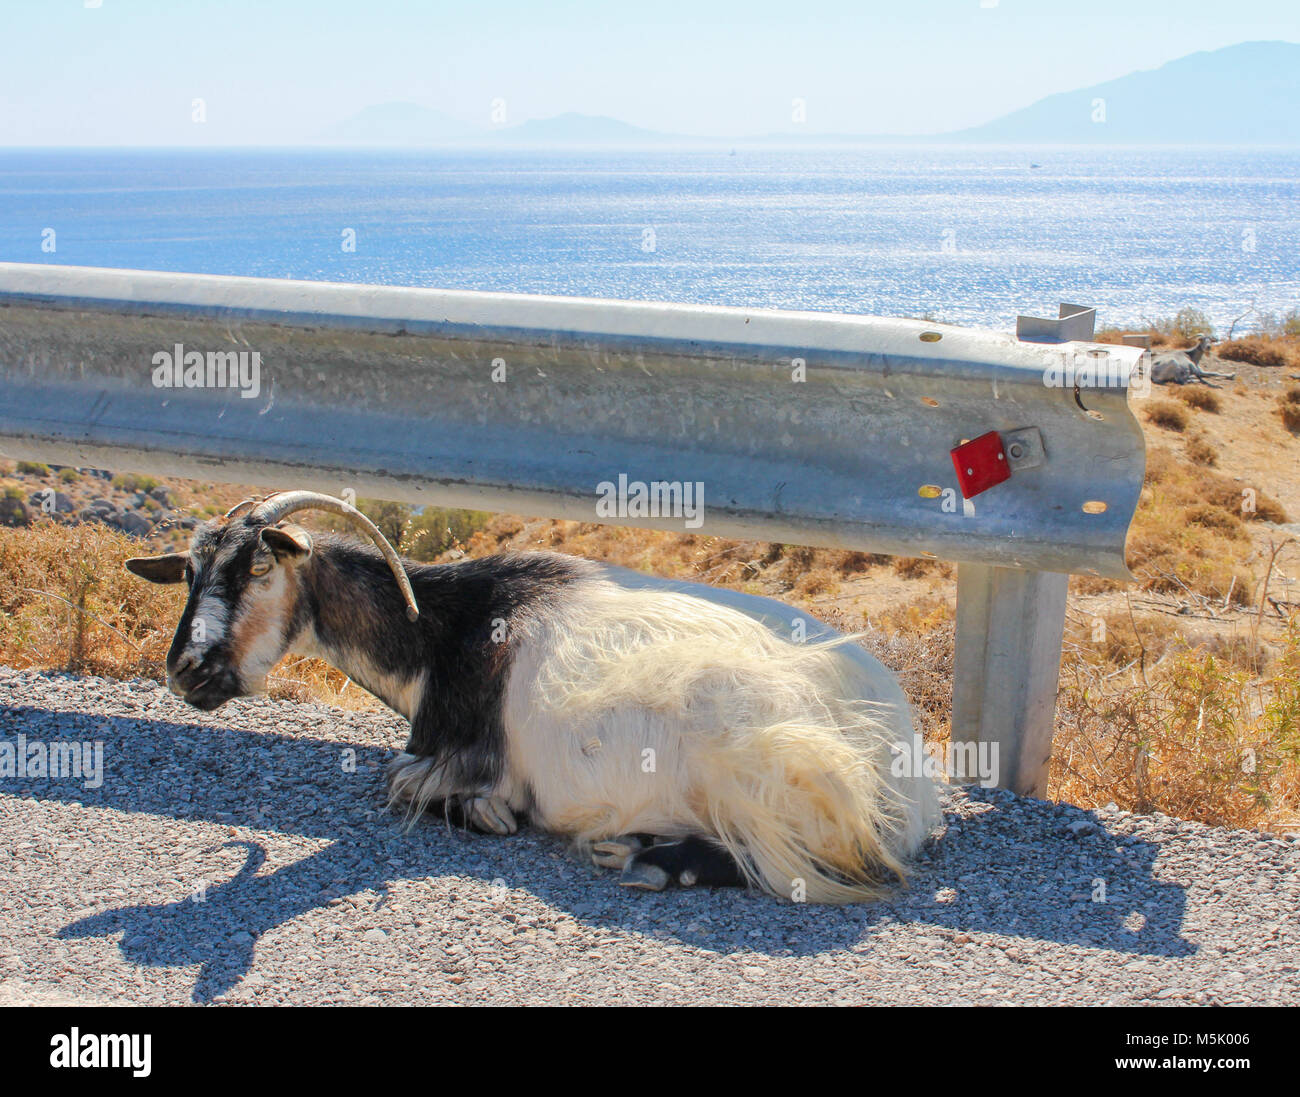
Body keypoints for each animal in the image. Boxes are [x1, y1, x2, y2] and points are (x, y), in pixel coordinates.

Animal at [125, 491, 937, 903]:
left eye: (260, 565)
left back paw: (651, 858)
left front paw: (489, 813)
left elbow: (400, 784)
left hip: (769, 760)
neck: (445, 630)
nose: (186, 670)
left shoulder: (456, 755)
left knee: (795, 859)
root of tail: (897, 762)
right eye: (190, 571)